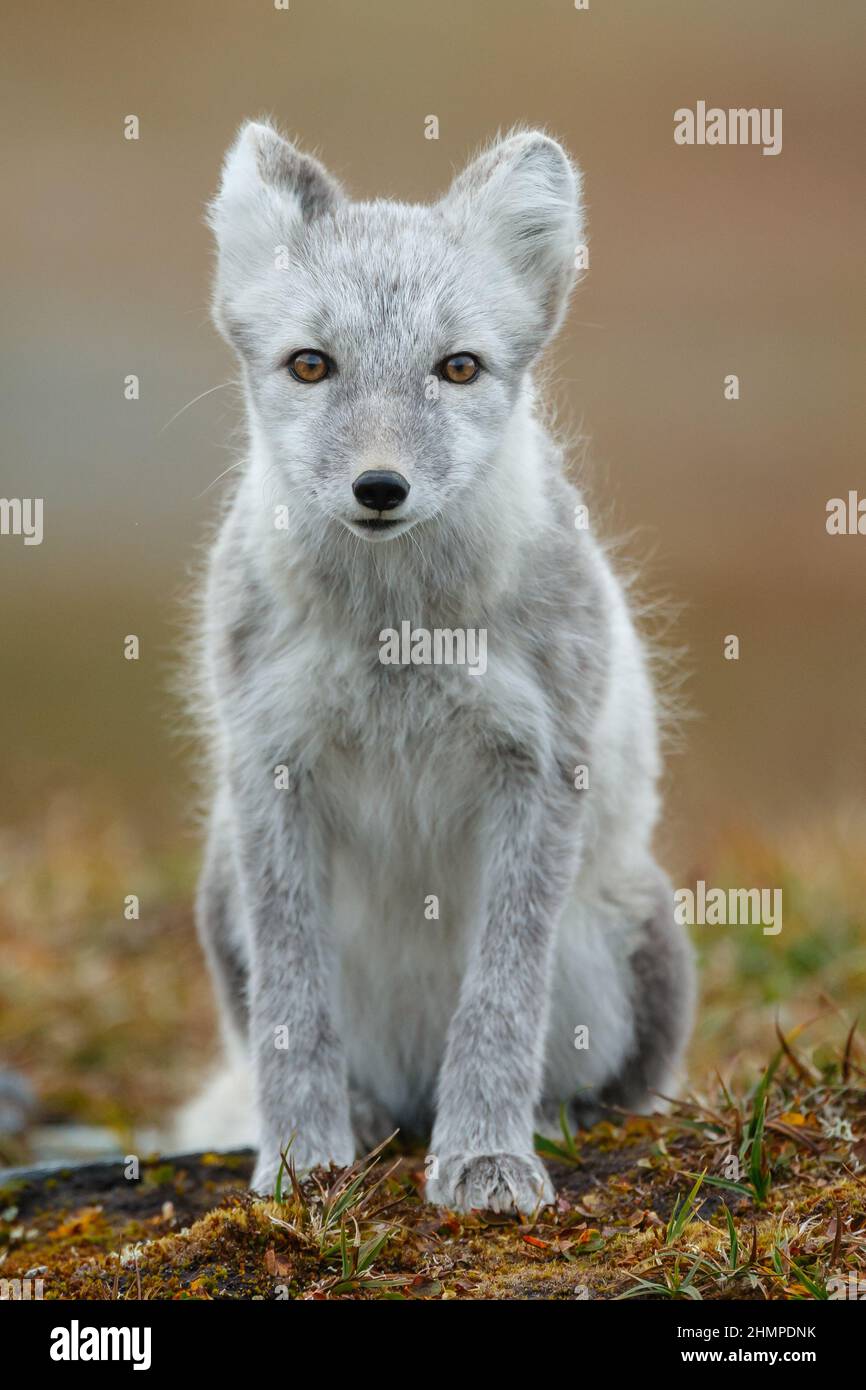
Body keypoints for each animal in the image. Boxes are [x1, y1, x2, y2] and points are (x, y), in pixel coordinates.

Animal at [182, 120, 695, 1214]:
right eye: (310, 365)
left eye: (457, 368)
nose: (380, 486)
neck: (398, 642)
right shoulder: (268, 769)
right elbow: (292, 1007)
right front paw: (301, 1162)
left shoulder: (538, 769)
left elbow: (499, 998)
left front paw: (486, 1157)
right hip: (219, 883)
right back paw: (367, 1120)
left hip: (637, 929)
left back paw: (543, 1119)